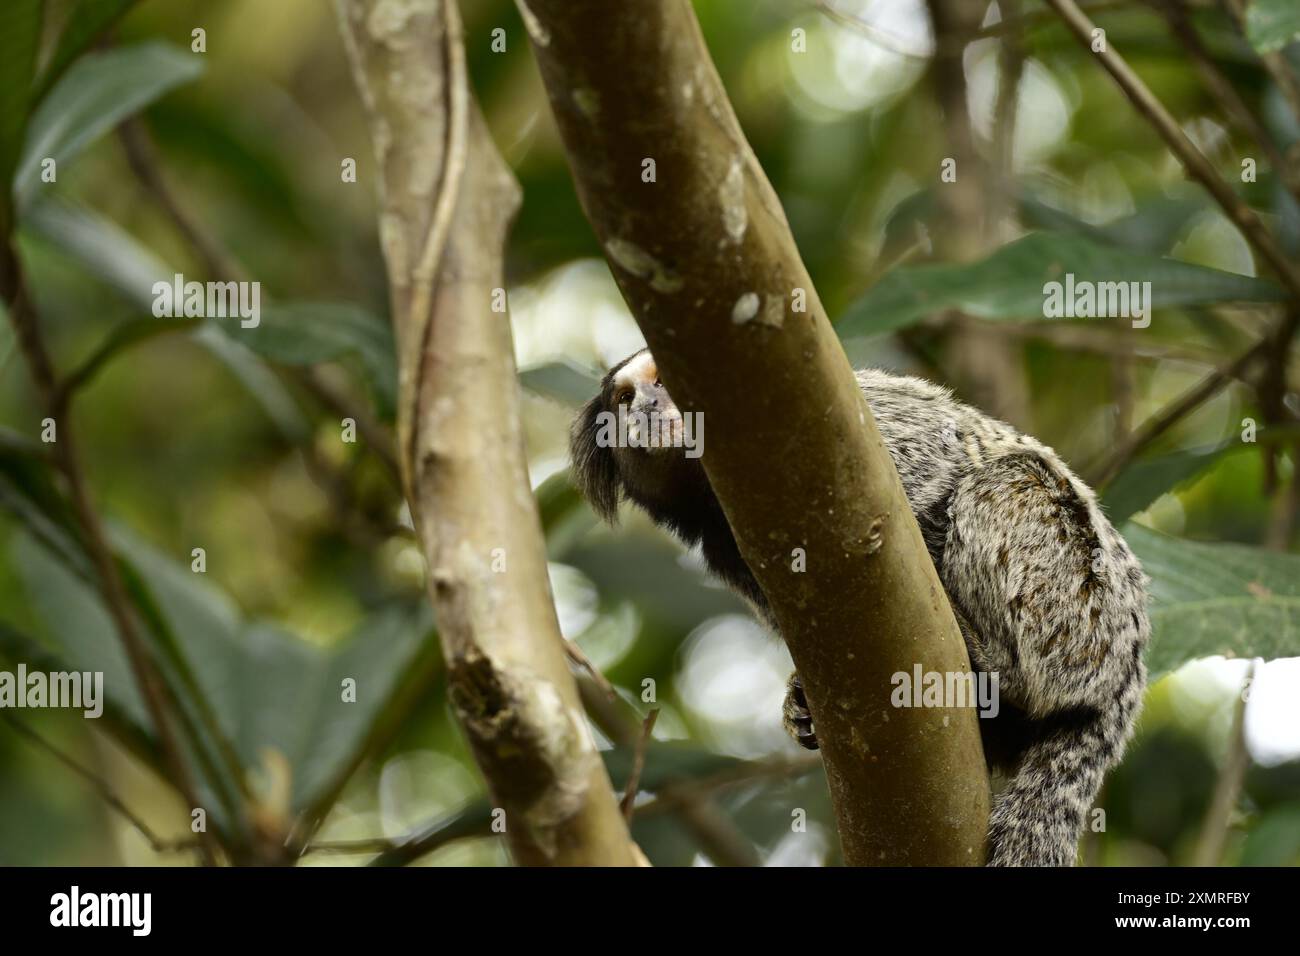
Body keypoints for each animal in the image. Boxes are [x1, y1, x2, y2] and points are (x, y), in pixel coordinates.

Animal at [569, 348, 1149, 867]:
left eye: (663, 381)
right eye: (625, 398)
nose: (647, 406)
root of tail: (1123, 686)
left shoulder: (868, 423)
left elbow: (939, 469)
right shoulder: (722, 545)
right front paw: (798, 700)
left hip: (1079, 608)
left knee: (1004, 482)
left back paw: (999, 670)